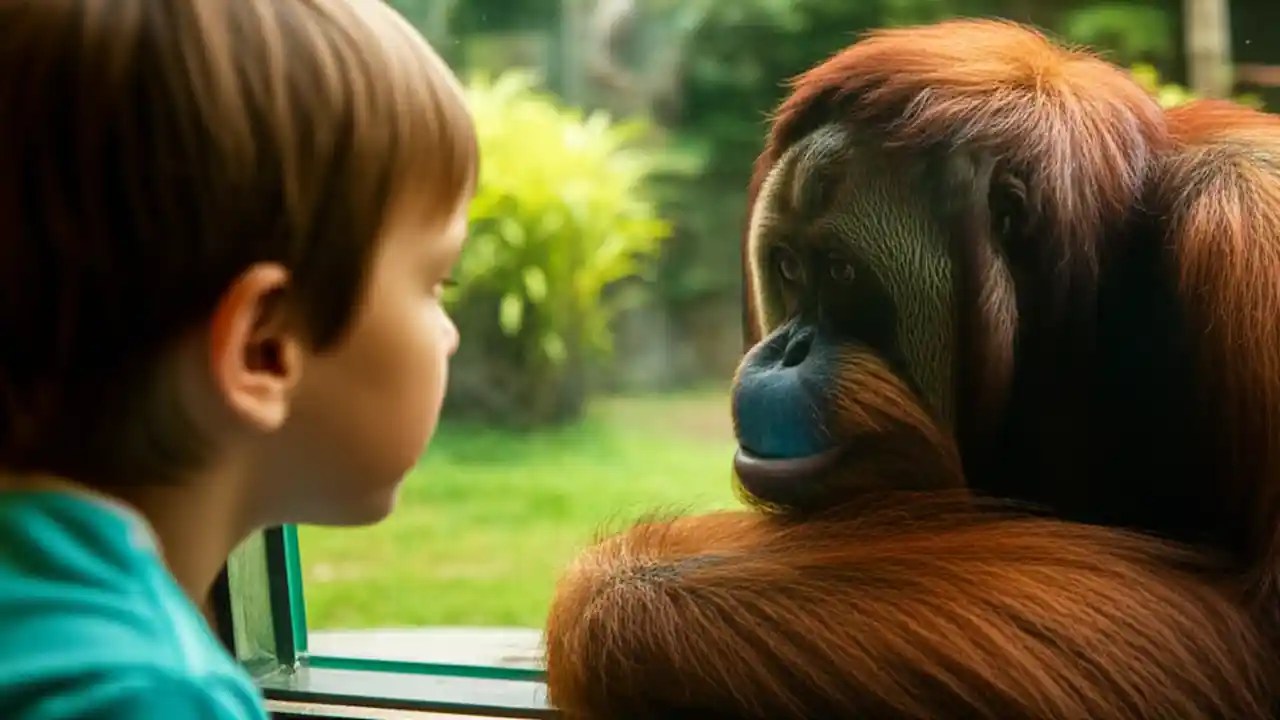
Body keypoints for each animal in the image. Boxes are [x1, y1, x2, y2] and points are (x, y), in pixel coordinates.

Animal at [543, 19, 1280, 719]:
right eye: (788, 267)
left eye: (842, 272)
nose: (785, 350)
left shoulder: (1250, 234)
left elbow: (1248, 639)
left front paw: (612, 596)